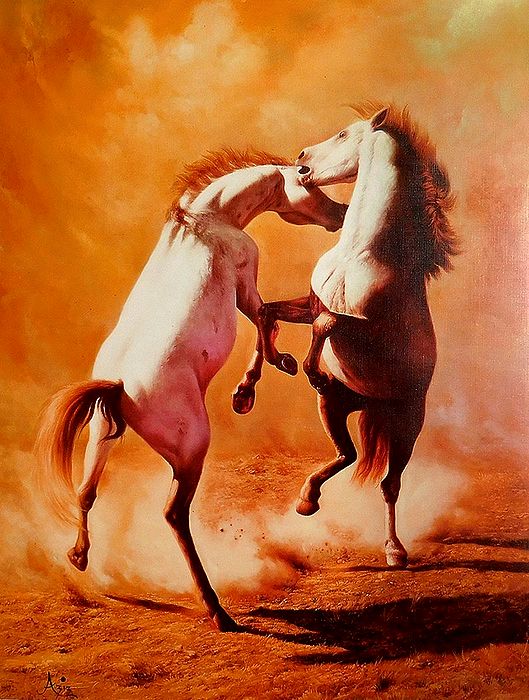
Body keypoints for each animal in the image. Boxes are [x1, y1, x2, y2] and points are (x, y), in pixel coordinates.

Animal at [36, 148, 348, 631]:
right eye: (308, 179)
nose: (342, 213)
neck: (206, 220)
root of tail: (118, 386)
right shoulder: (245, 282)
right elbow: (264, 321)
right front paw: (254, 386)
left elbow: (267, 321)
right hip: (190, 454)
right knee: (174, 514)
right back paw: (217, 609)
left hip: (101, 437)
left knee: (86, 490)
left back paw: (79, 557)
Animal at [258, 104, 458, 568]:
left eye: (343, 134)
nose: (302, 160)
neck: (360, 253)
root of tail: (372, 404)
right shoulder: (311, 302)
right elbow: (270, 312)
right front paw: (278, 366)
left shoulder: (369, 327)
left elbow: (328, 325)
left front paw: (311, 370)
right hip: (332, 408)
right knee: (346, 454)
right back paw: (306, 500)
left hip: (407, 425)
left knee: (389, 484)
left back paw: (395, 551)